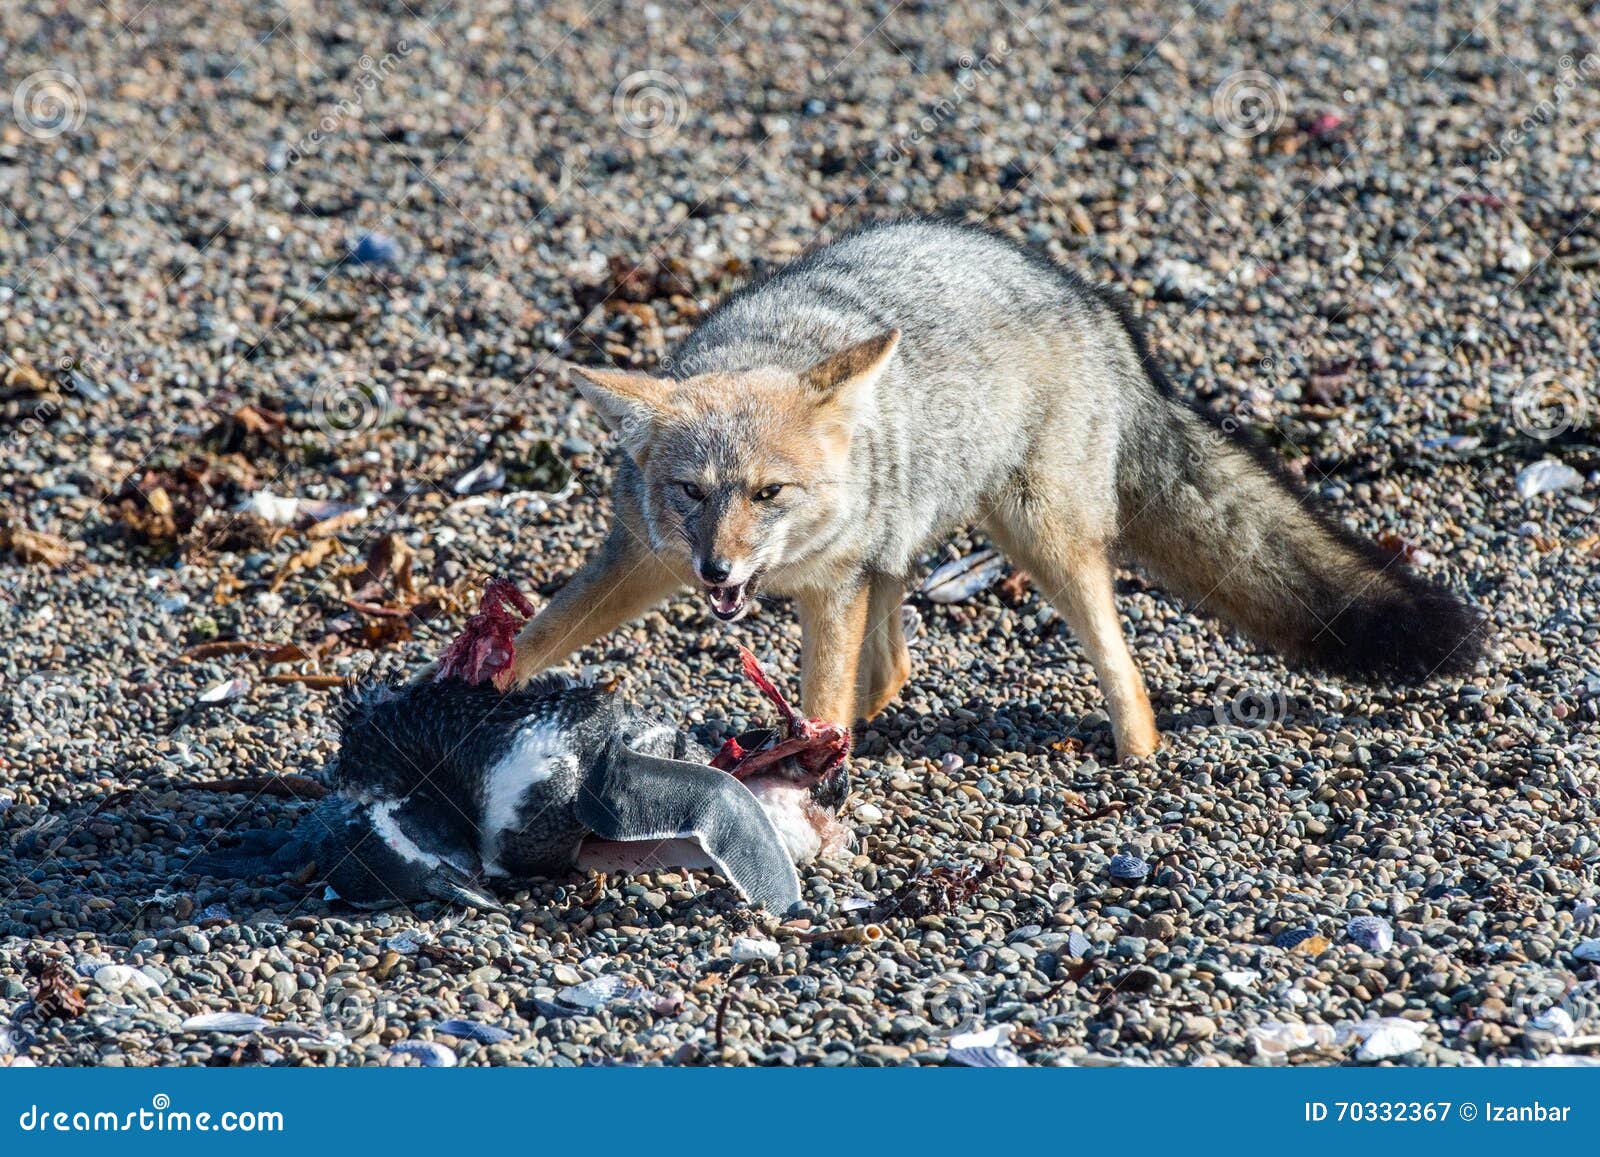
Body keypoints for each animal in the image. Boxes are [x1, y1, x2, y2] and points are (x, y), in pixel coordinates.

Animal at [497, 217, 1482, 760]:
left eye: (769, 493)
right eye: (690, 492)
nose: (717, 572)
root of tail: (1100, 307)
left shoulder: (829, 585)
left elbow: (821, 694)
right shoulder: (646, 556)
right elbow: (545, 632)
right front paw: (477, 681)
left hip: (1039, 541)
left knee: (1124, 672)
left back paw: (1137, 756)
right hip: (902, 546)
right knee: (893, 668)